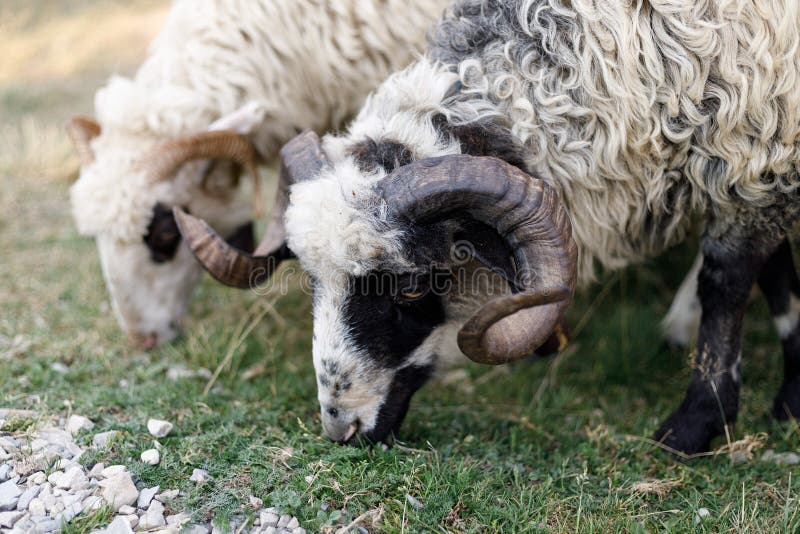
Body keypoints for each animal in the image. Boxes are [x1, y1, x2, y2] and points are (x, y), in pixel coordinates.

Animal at [177, 0, 800, 455]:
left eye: (413, 288)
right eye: (312, 281)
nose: (342, 430)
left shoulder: (754, 153)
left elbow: (728, 285)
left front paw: (699, 423)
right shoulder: (761, 158)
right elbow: (777, 275)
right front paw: (789, 395)